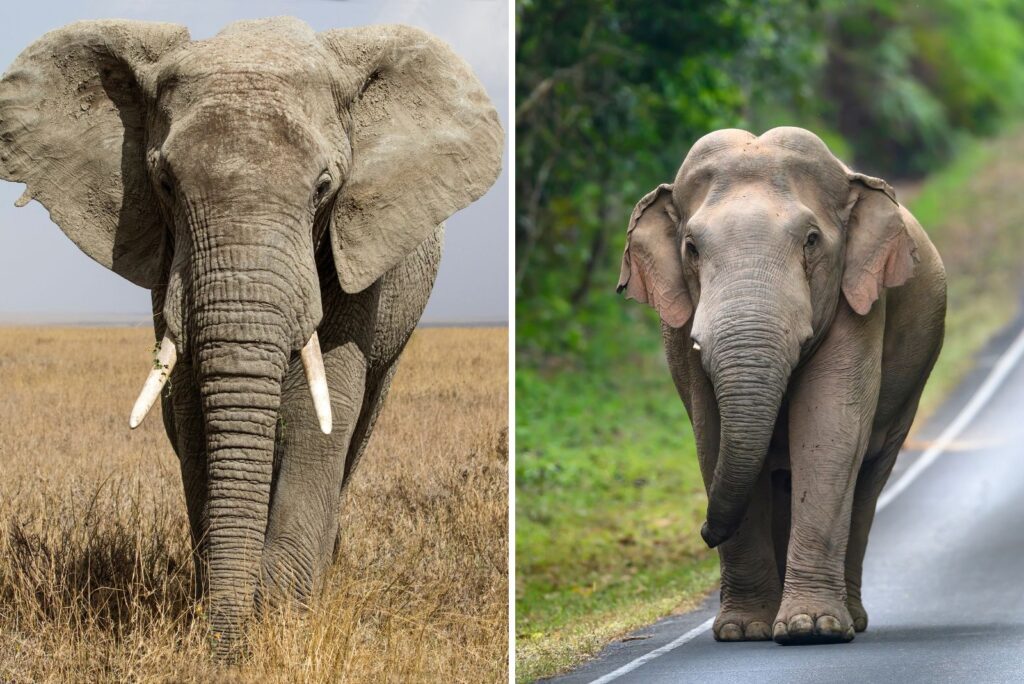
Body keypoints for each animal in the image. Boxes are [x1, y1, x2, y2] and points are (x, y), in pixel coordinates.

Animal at [0, 17, 502, 655]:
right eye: (164, 183)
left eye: (324, 187)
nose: (230, 654)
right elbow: (193, 411)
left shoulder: (354, 250)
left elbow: (322, 407)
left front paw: (284, 616)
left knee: (359, 422)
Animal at [618, 127, 945, 645]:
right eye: (691, 248)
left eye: (811, 241)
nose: (705, 532)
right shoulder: (682, 326)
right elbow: (711, 437)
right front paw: (743, 630)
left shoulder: (859, 301)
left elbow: (829, 430)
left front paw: (812, 628)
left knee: (867, 477)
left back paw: (850, 619)